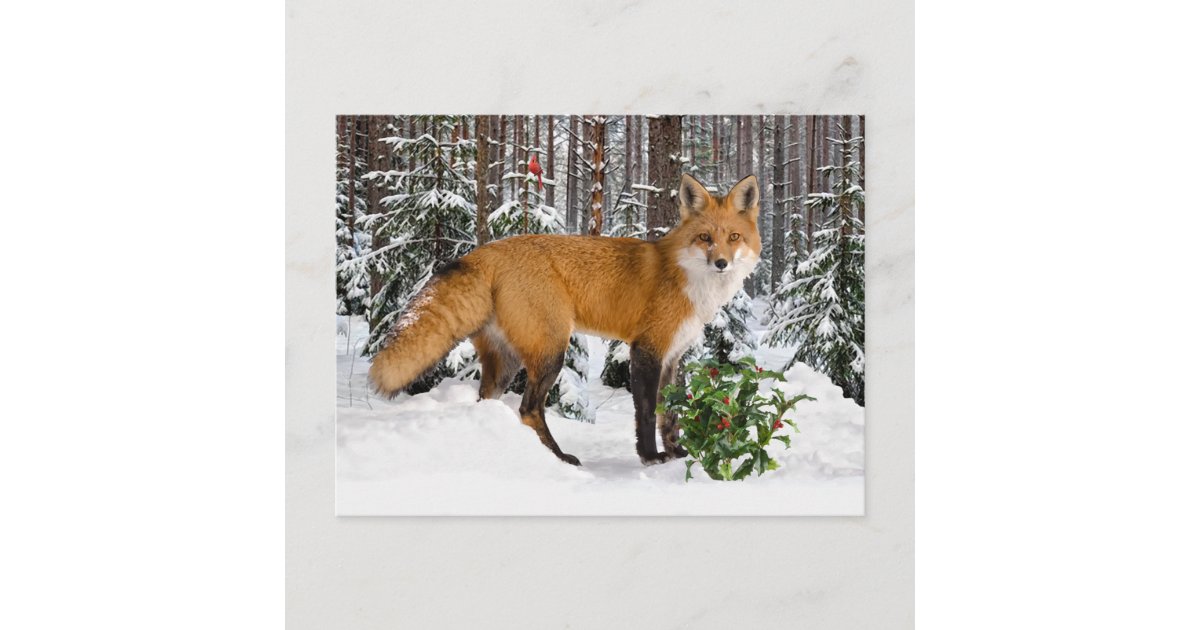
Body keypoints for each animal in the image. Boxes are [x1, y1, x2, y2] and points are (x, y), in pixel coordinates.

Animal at [369, 173, 762, 466]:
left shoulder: (673, 356)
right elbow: (649, 412)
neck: (686, 276)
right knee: (529, 410)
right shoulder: (646, 350)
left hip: (506, 364)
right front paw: (651, 458)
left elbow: (672, 414)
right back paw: (559, 458)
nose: (721, 263)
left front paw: (677, 452)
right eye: (705, 238)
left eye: (734, 237)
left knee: (489, 402)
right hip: (551, 352)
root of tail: (487, 250)